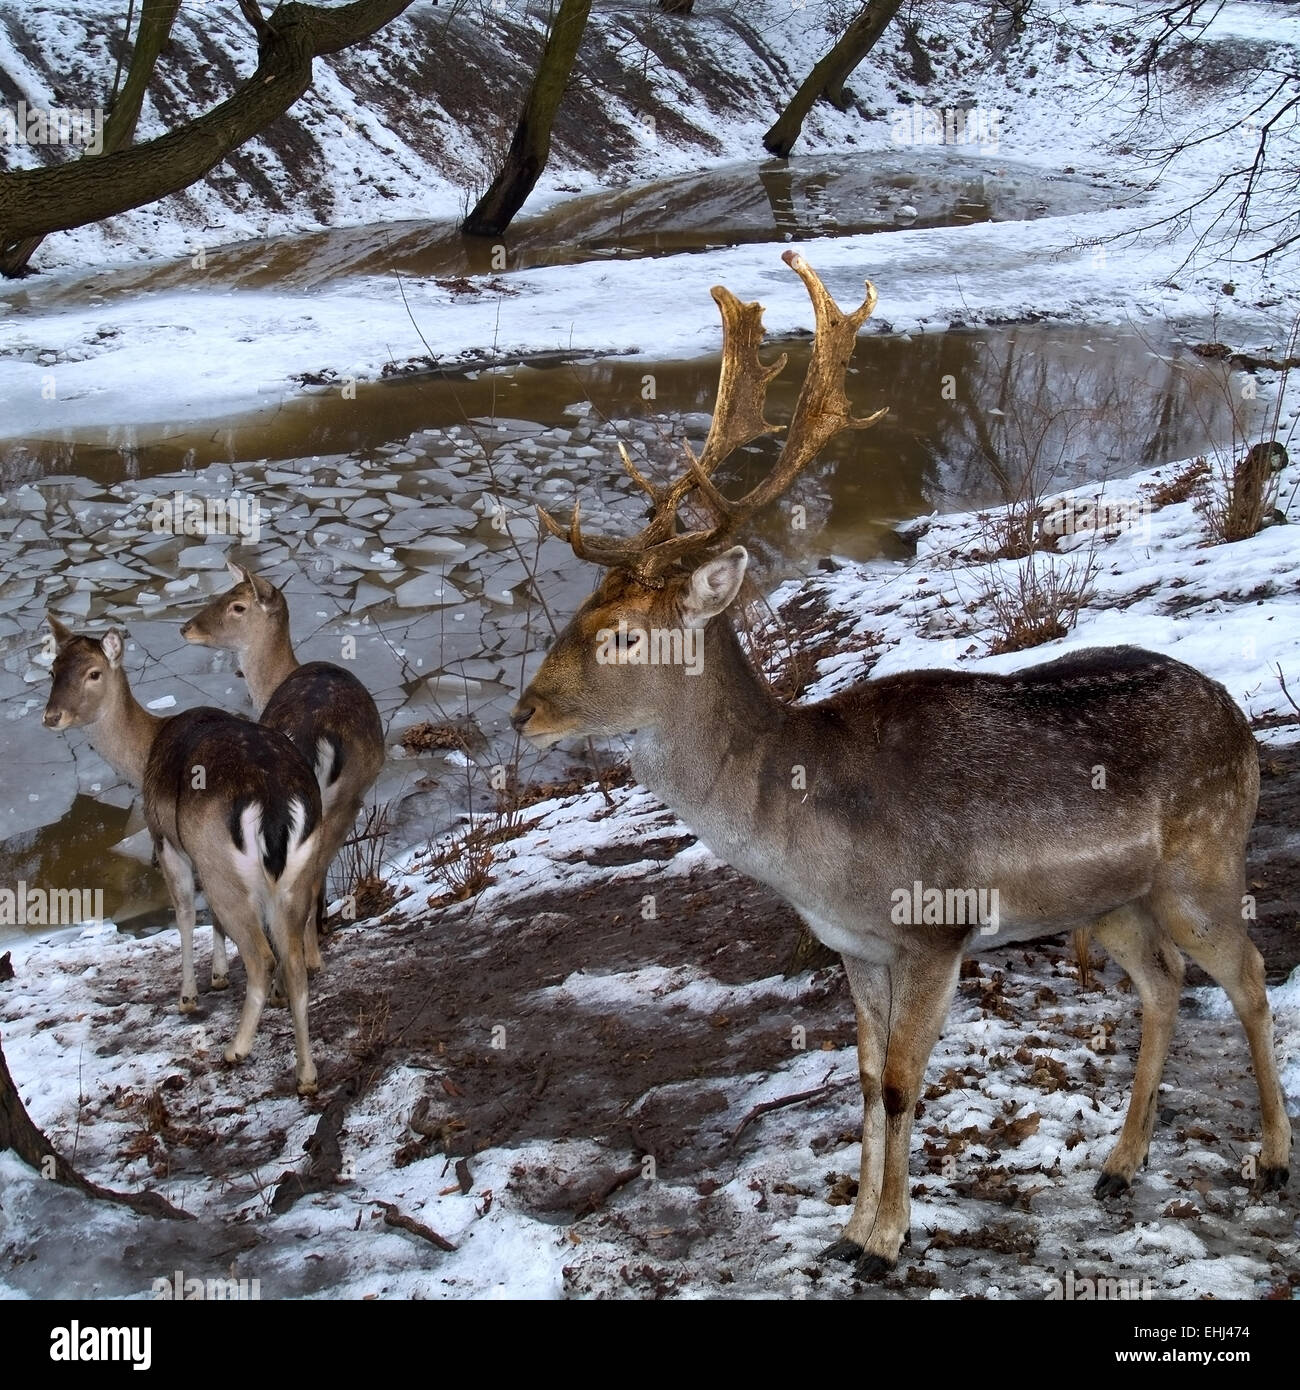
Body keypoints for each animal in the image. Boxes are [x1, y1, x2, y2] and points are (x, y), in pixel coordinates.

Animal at [43, 618, 326, 1095]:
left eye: (93, 673)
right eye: (53, 669)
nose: (51, 717)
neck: (145, 751)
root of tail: (274, 800)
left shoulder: (168, 841)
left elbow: (185, 913)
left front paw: (190, 994)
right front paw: (218, 974)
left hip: (222, 864)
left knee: (262, 958)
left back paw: (236, 1048)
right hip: (295, 873)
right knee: (293, 961)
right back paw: (306, 1075)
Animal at [510, 250, 1292, 1279]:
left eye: (627, 634)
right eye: (577, 611)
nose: (524, 710)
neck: (812, 843)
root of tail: (1240, 718)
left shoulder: (935, 928)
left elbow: (901, 1082)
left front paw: (884, 1243)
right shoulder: (855, 946)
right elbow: (865, 1074)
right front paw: (849, 1227)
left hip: (1204, 859)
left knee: (1248, 974)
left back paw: (1271, 1159)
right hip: (1113, 897)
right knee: (1163, 983)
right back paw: (1120, 1166)